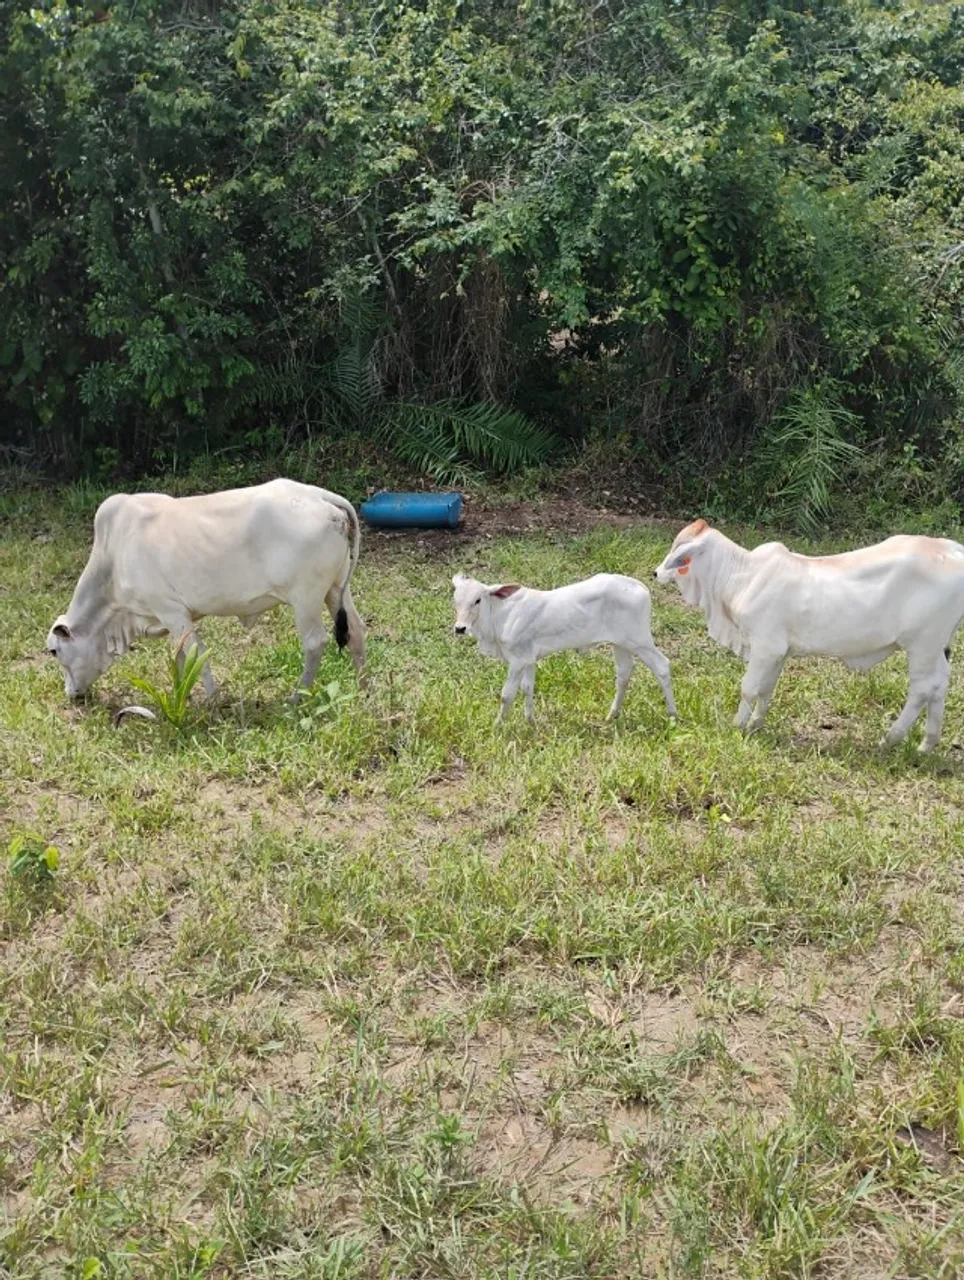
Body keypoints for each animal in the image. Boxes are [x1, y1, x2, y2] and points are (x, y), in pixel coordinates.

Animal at [46, 478, 366, 701]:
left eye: (54, 651)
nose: (71, 694)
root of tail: (320, 497)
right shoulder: (169, 619)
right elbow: (179, 657)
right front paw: (180, 693)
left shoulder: (172, 611)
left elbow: (196, 655)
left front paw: (212, 701)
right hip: (336, 589)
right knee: (355, 630)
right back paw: (363, 687)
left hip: (305, 598)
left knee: (315, 642)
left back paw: (299, 696)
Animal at [451, 572, 677, 724]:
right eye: (455, 600)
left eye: (477, 600)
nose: (460, 628)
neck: (501, 615)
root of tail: (639, 585)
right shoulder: (528, 658)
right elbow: (527, 688)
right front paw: (530, 721)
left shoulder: (517, 660)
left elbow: (507, 694)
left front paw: (498, 724)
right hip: (620, 644)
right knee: (624, 672)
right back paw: (611, 715)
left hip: (640, 640)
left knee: (662, 665)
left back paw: (673, 714)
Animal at [655, 518, 964, 752]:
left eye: (680, 556)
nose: (656, 572)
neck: (743, 575)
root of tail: (951, 549)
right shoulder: (778, 652)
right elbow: (766, 689)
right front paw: (755, 725)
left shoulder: (765, 646)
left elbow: (749, 688)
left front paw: (737, 726)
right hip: (936, 648)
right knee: (939, 684)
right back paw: (926, 744)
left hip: (922, 645)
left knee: (922, 688)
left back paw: (890, 739)